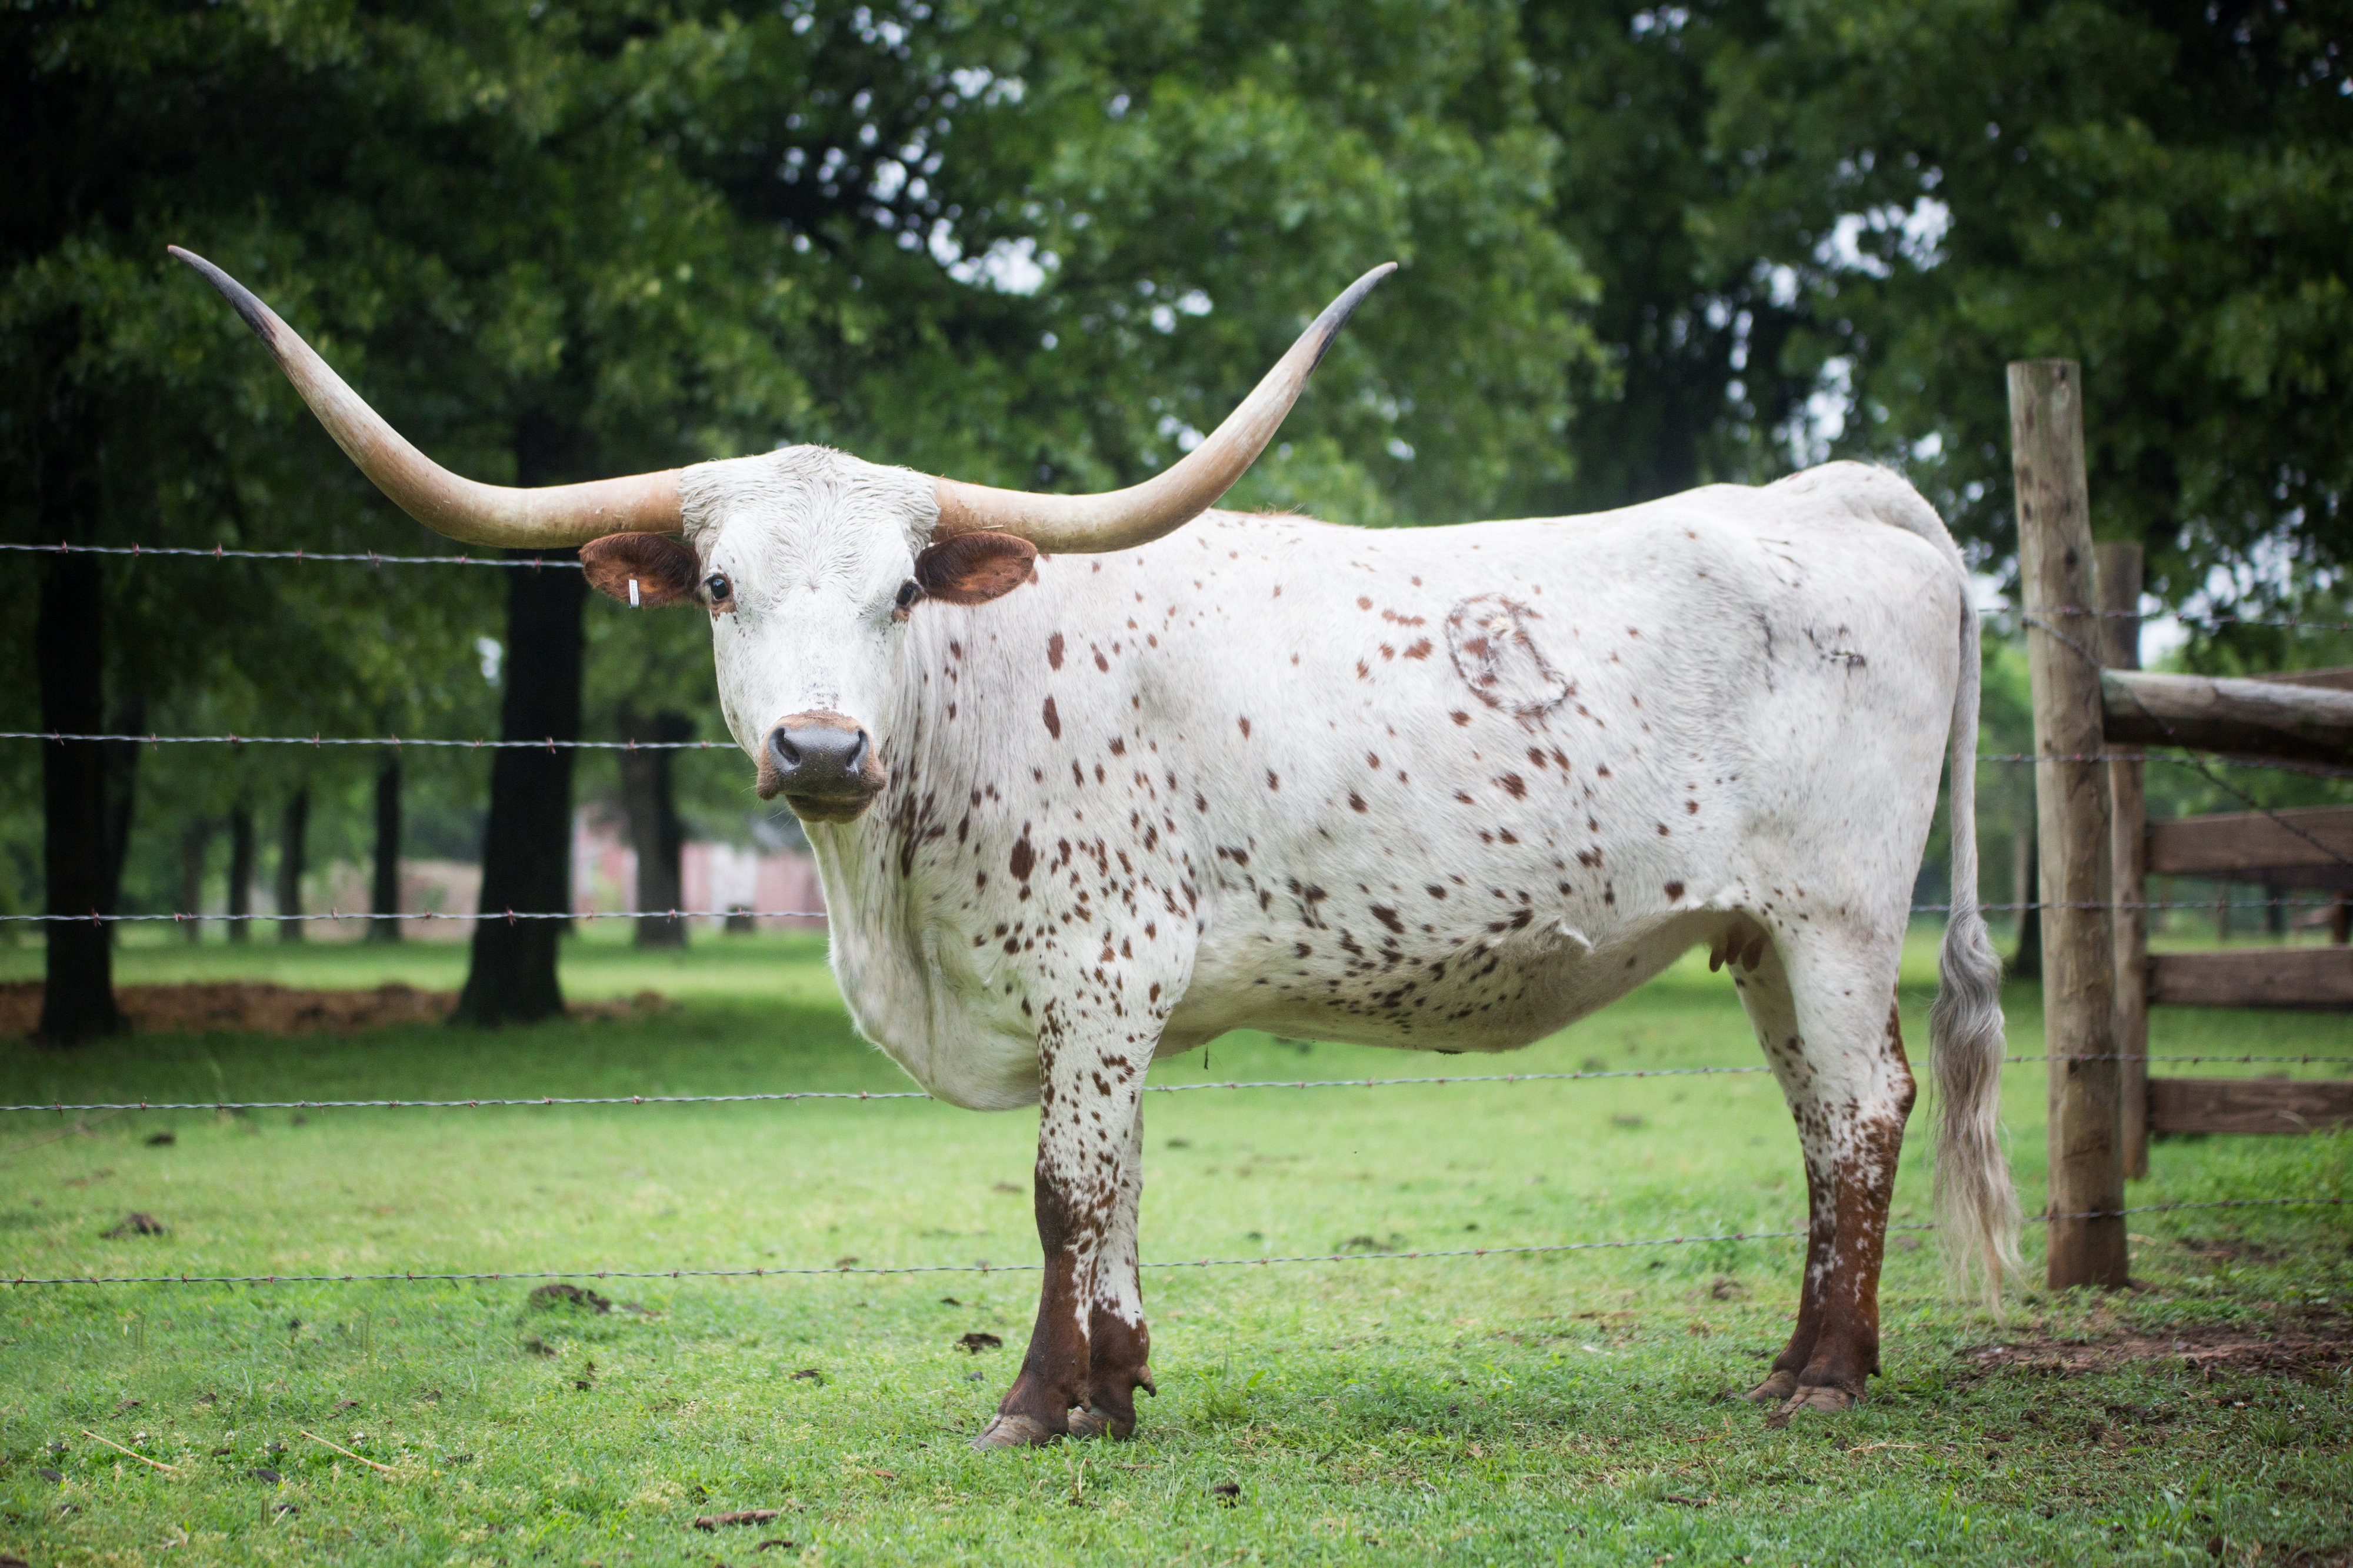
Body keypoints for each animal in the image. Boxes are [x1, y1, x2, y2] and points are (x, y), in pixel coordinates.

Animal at [172, 246, 2020, 1445]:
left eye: (902, 589)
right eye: (719, 585)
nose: (821, 747)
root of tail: (1847, 496)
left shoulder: (1103, 973)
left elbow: (1069, 1189)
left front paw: (1038, 1402)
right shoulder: (1104, 1010)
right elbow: (1116, 1190)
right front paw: (1121, 1387)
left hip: (1840, 915)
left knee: (1863, 1110)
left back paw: (1823, 1373)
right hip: (1761, 935)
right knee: (1819, 1116)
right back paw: (1808, 1353)